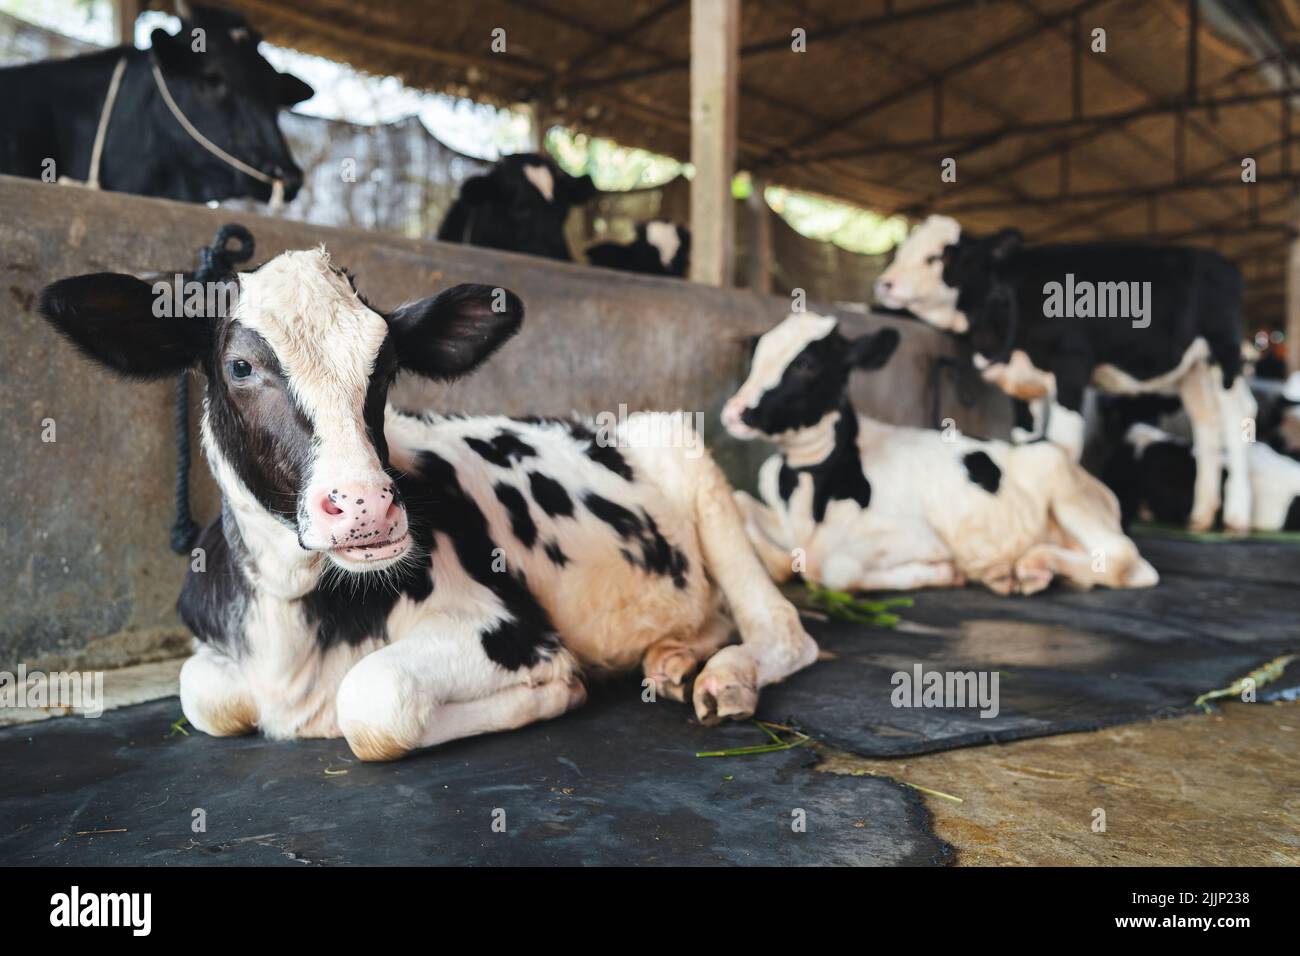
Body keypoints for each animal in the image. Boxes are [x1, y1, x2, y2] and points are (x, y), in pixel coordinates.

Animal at [38, 249, 816, 760]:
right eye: (240, 366)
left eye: (385, 368)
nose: (365, 505)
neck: (294, 634)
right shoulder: (213, 654)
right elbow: (202, 690)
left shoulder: (509, 627)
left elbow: (372, 702)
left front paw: (556, 691)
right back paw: (671, 659)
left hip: (695, 465)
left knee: (780, 629)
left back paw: (725, 679)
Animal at [720, 313, 1158, 595]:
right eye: (756, 354)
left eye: (807, 364)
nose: (734, 412)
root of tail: (1099, 487)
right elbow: (741, 505)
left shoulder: (919, 537)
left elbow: (834, 570)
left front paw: (942, 573)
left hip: (1064, 485)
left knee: (1126, 558)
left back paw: (1032, 565)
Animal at [874, 215, 1256, 534]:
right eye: (903, 249)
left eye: (939, 258)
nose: (884, 283)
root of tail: (1223, 263)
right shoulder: (1021, 384)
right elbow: (1027, 444)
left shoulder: (1072, 365)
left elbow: (1063, 445)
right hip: (1193, 370)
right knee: (1206, 425)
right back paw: (1201, 515)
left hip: (1225, 354)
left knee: (1236, 418)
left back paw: (1237, 517)